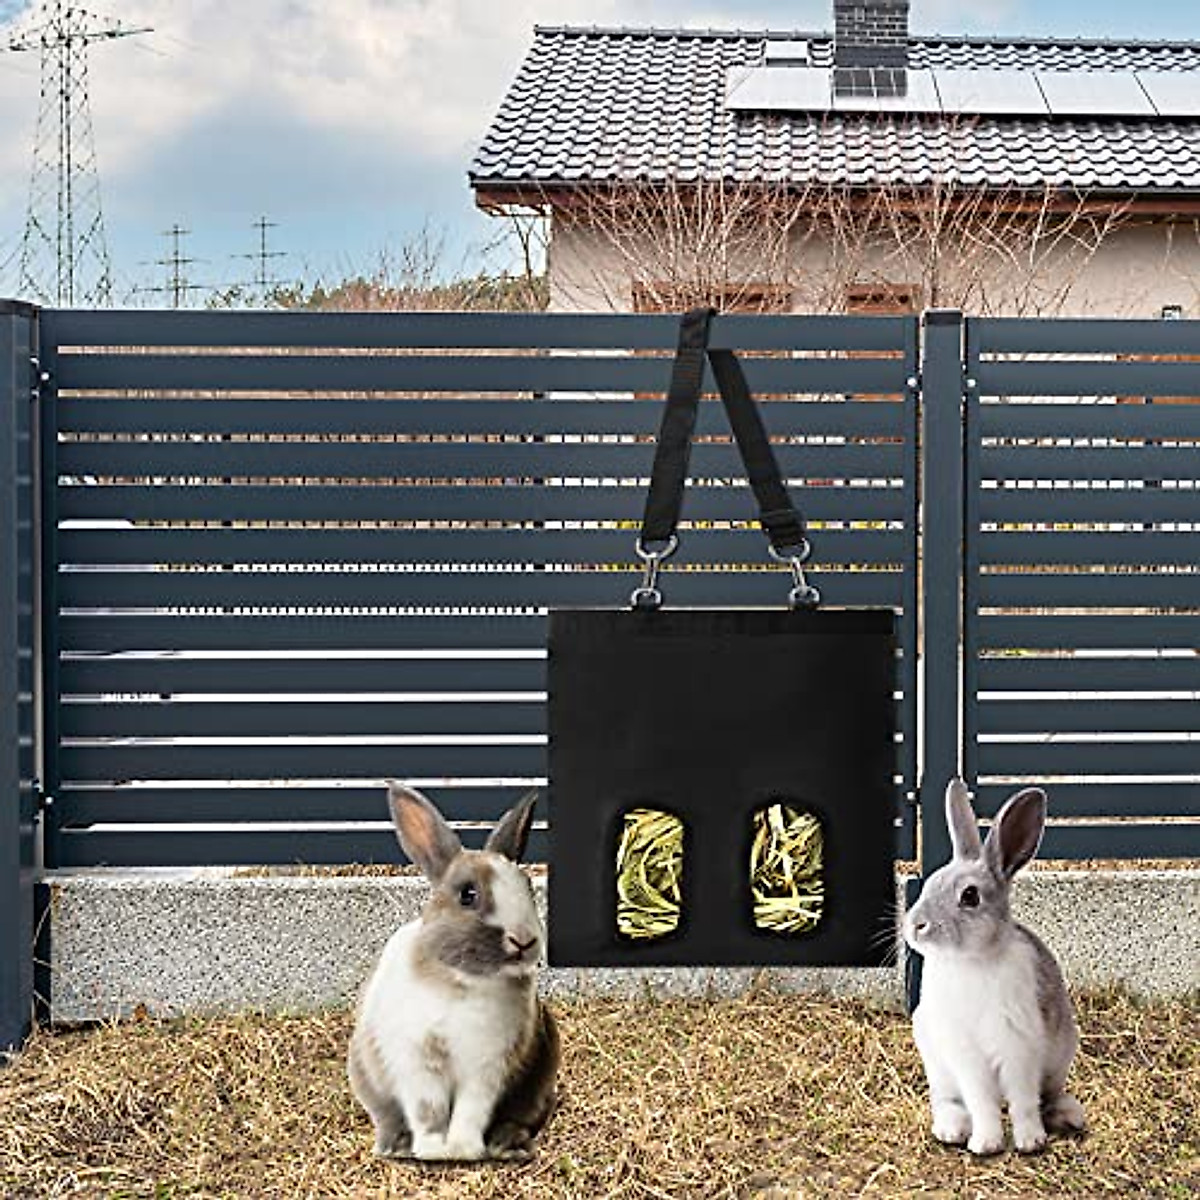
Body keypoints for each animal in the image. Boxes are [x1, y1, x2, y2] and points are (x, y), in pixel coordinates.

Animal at [348, 782, 559, 1163]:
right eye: (468, 895)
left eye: (526, 887)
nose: (524, 940)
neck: (464, 981)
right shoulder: (417, 1063)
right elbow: (428, 1110)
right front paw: (433, 1151)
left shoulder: (486, 1069)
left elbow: (471, 1111)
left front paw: (463, 1150)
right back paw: (395, 1147)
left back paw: (508, 1147)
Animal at [903, 778, 1086, 1156]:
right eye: (929, 884)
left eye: (970, 896)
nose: (915, 926)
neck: (973, 961)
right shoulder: (966, 1056)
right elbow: (981, 1101)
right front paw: (986, 1144)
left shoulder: (1019, 1047)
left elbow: (1023, 1101)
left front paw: (1030, 1141)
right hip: (935, 1059)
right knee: (947, 1100)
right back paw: (952, 1129)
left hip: (1060, 1055)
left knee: (1047, 1096)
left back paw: (1069, 1115)